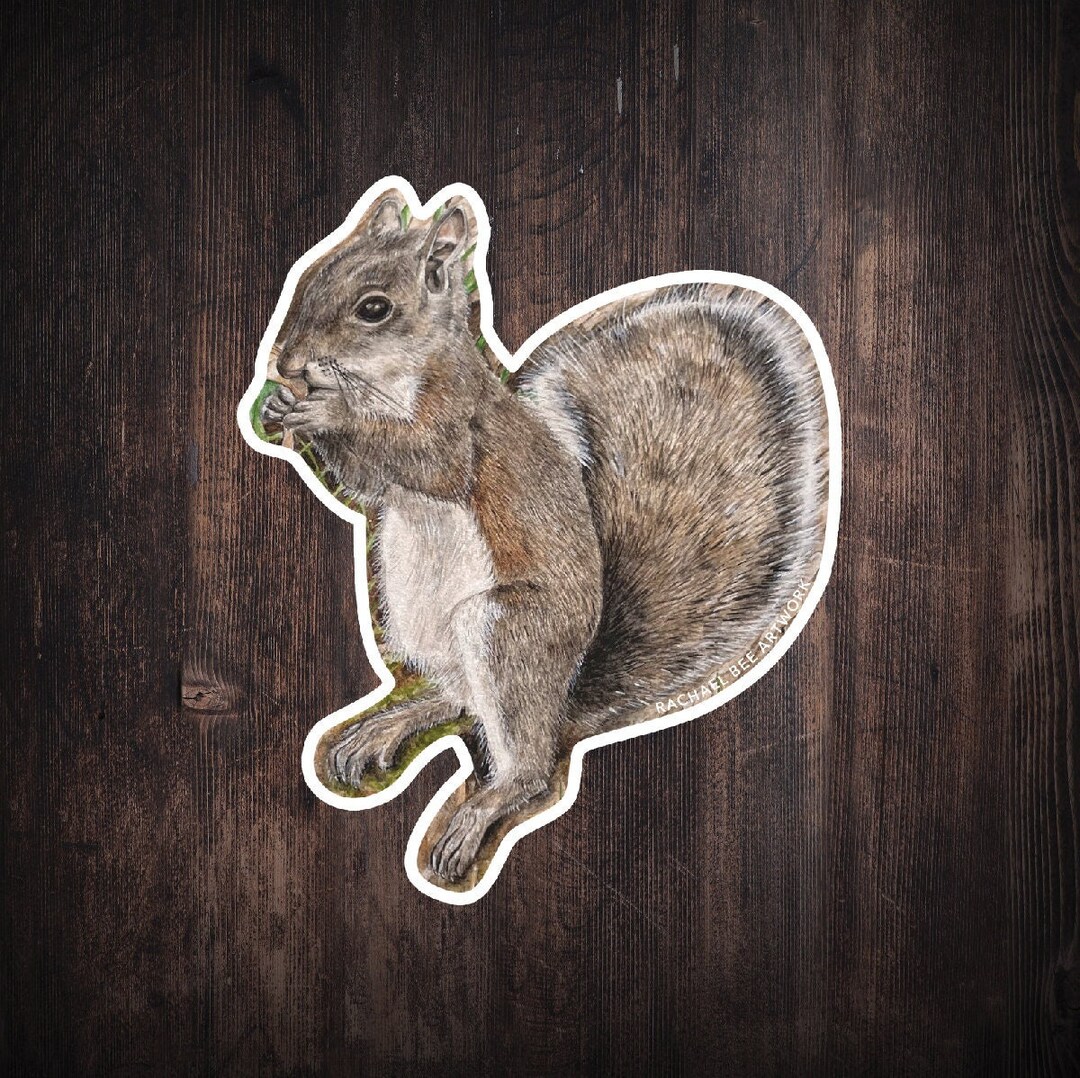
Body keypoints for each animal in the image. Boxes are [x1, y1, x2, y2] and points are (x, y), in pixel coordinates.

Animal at [256, 186, 832, 887]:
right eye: (313, 277)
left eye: (374, 308)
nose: (284, 364)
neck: (395, 379)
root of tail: (564, 703)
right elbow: (369, 486)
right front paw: (280, 408)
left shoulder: (456, 425)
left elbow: (427, 460)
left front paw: (323, 410)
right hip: (424, 623)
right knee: (460, 698)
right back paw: (387, 727)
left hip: (506, 632)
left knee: (525, 766)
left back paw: (476, 815)